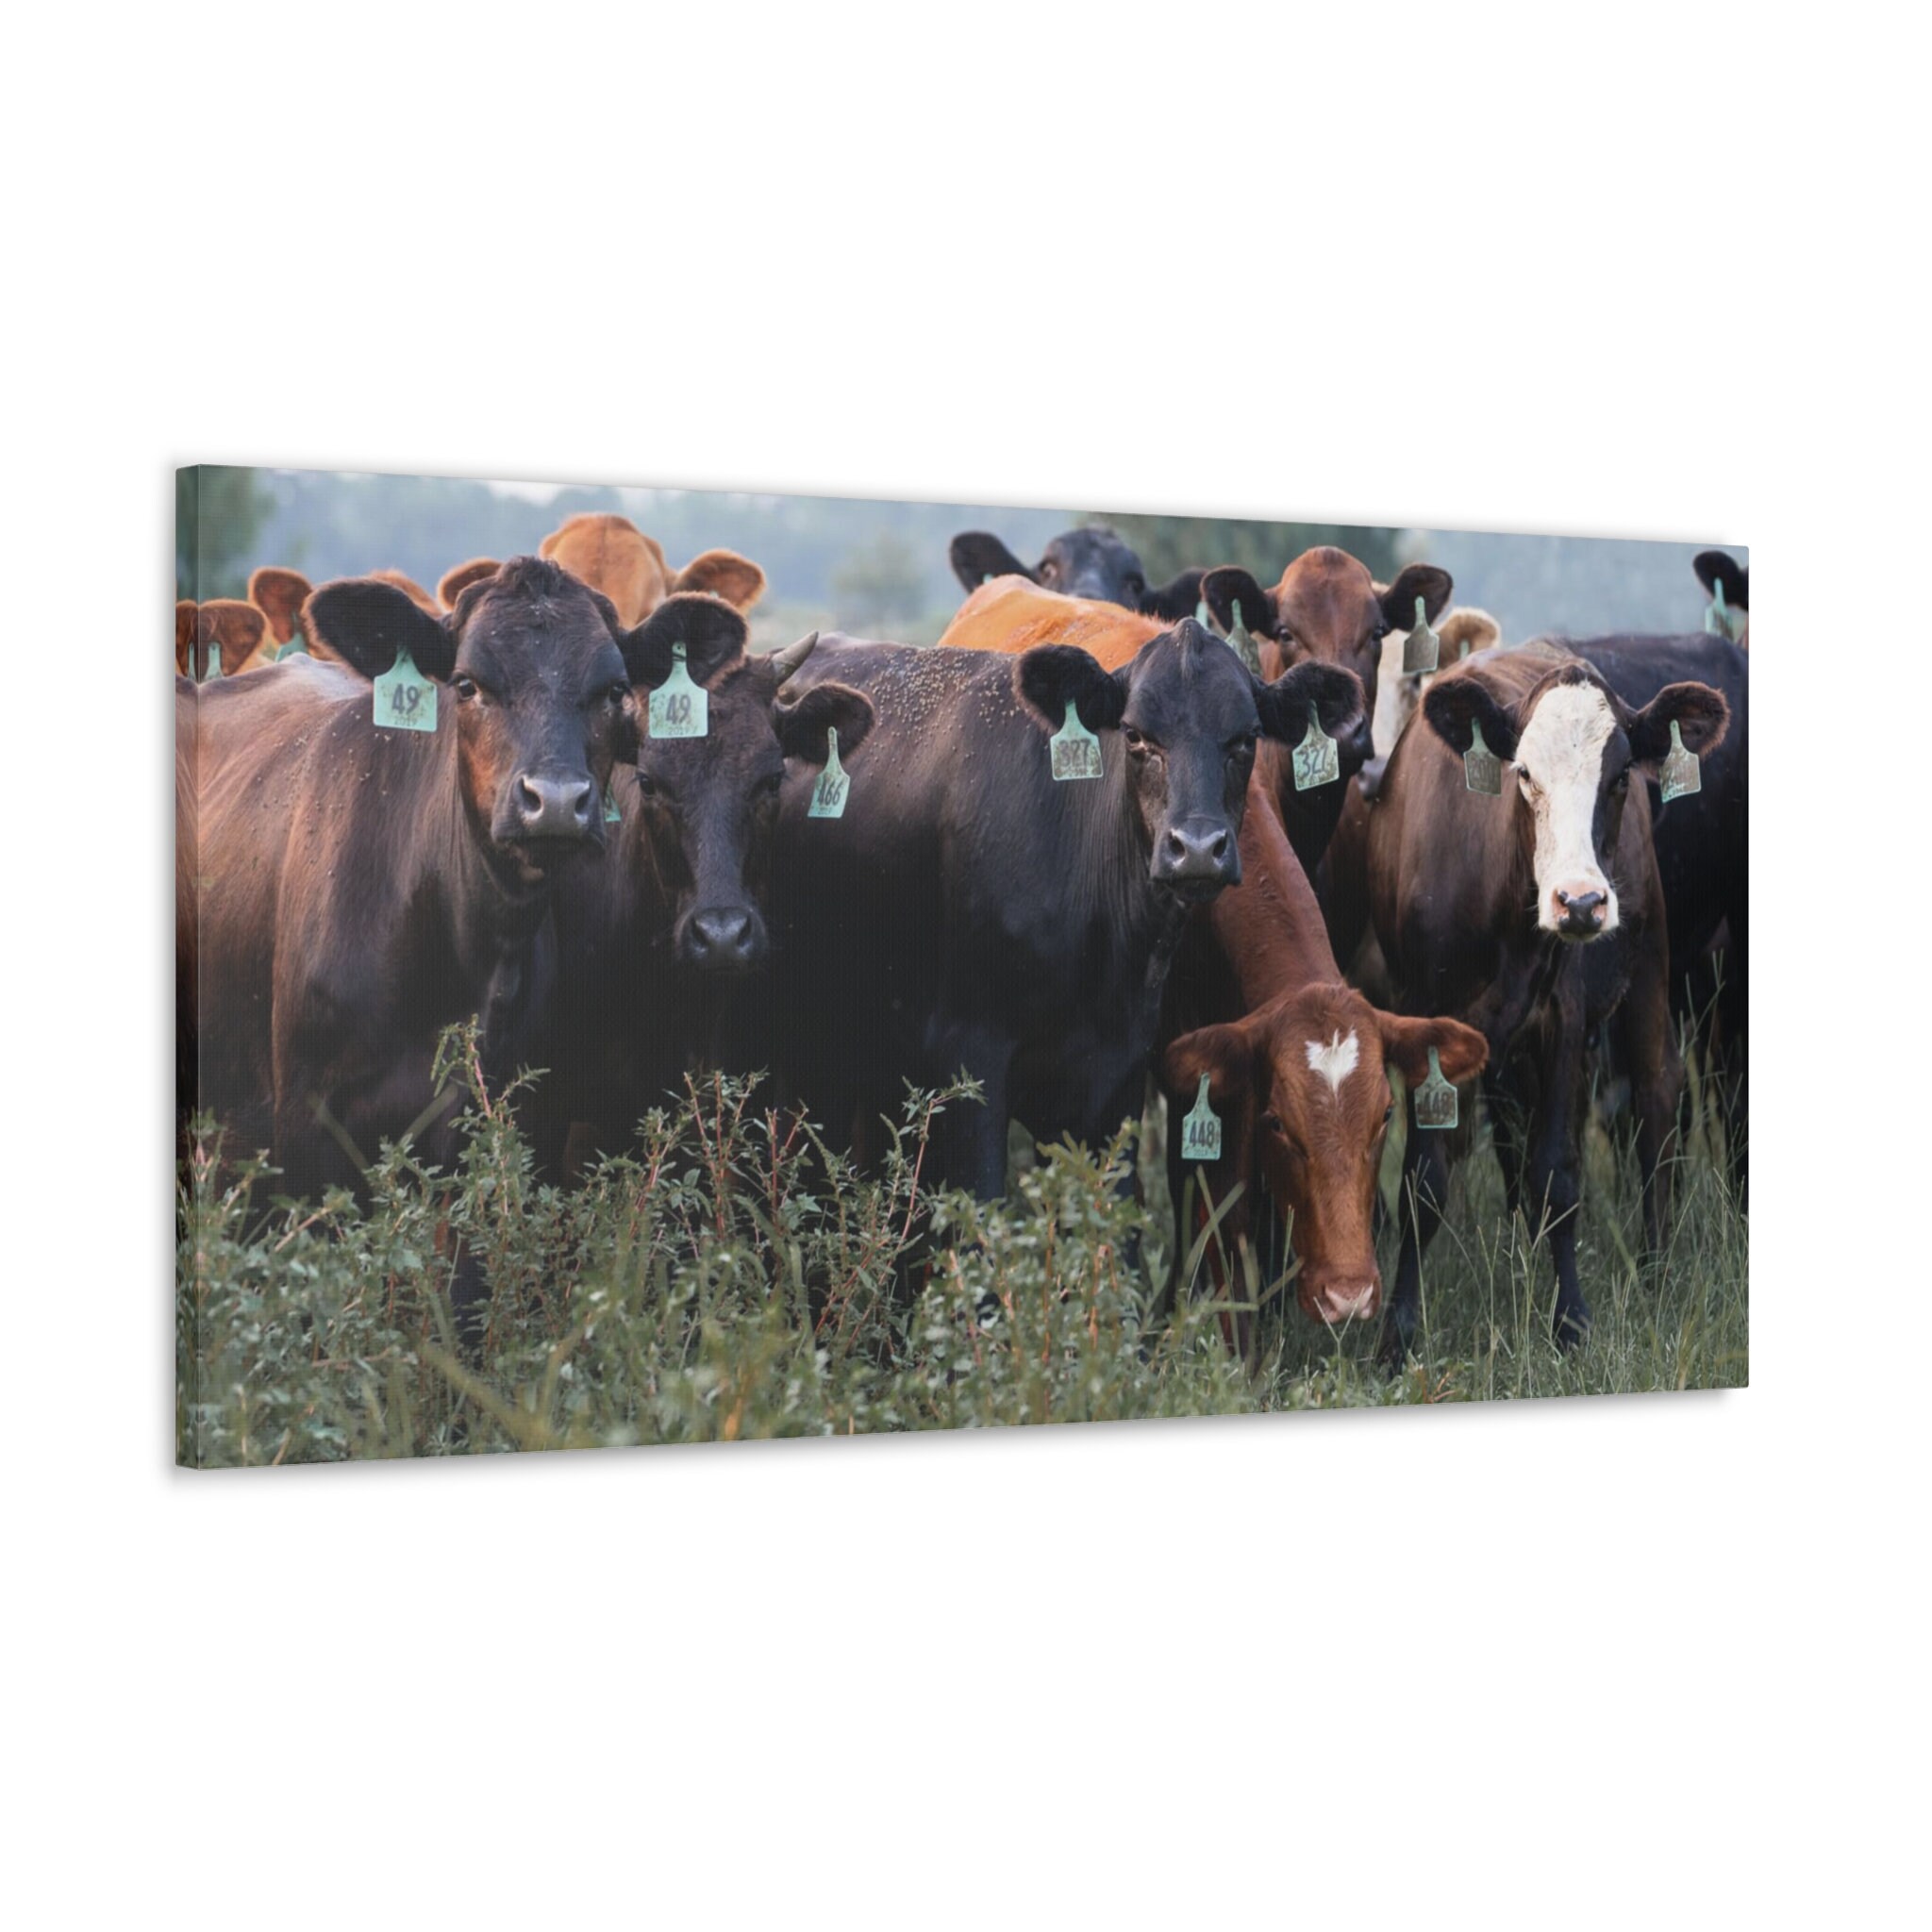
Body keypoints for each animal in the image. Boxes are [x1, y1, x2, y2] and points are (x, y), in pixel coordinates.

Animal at [1365, 645, 1729, 1359]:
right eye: (1525, 774)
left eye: (1620, 776)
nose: (1580, 902)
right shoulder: (1429, 1023)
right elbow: (1424, 1178)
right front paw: (1399, 1331)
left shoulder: (1564, 1022)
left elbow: (1559, 1172)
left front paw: (1571, 1321)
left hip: (1647, 968)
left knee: (1655, 1093)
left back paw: (1655, 1266)